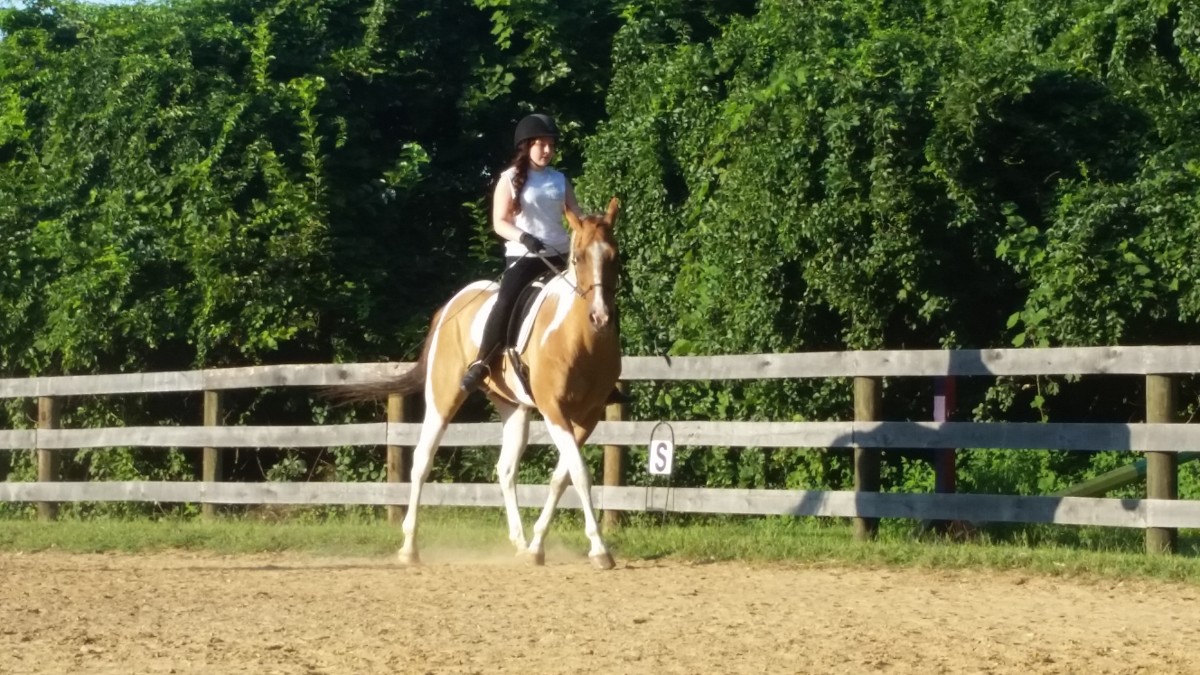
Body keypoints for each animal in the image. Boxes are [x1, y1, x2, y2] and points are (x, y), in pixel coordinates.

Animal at [337, 198, 622, 570]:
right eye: (579, 258)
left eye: (613, 256)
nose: (600, 316)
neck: (579, 339)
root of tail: (451, 305)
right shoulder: (554, 410)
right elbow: (580, 473)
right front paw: (599, 549)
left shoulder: (587, 416)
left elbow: (562, 477)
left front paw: (537, 547)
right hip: (443, 396)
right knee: (422, 460)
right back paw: (409, 547)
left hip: (513, 407)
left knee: (506, 469)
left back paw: (519, 543)